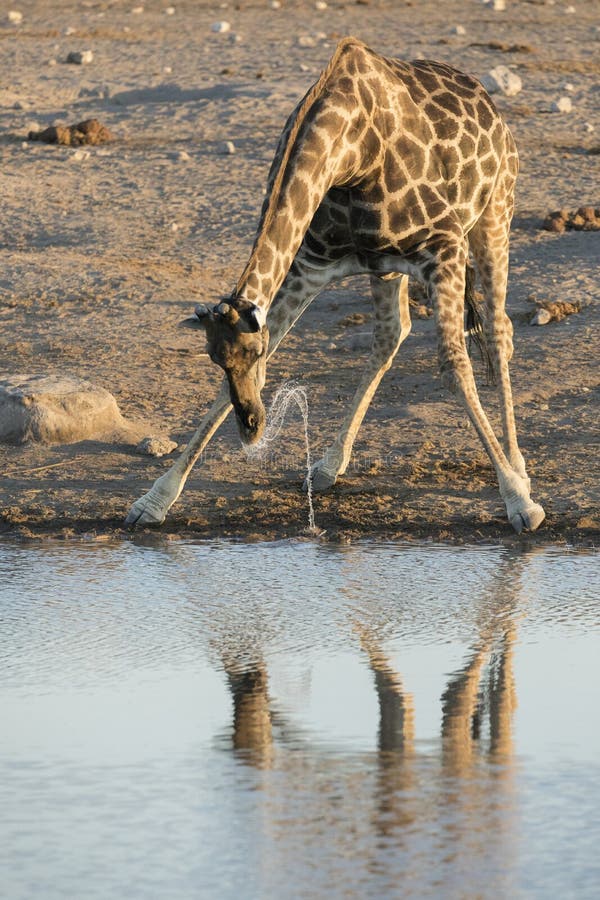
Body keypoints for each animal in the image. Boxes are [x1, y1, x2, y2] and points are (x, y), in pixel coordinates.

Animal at [126, 36, 545, 534]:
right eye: (216, 359)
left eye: (253, 355)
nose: (252, 426)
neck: (351, 155)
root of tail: (488, 101)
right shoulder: (309, 265)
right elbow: (225, 388)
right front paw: (153, 501)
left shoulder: (444, 247)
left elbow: (454, 366)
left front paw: (519, 501)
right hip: (387, 268)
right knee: (391, 334)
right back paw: (328, 464)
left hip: (495, 215)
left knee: (499, 330)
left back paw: (518, 465)